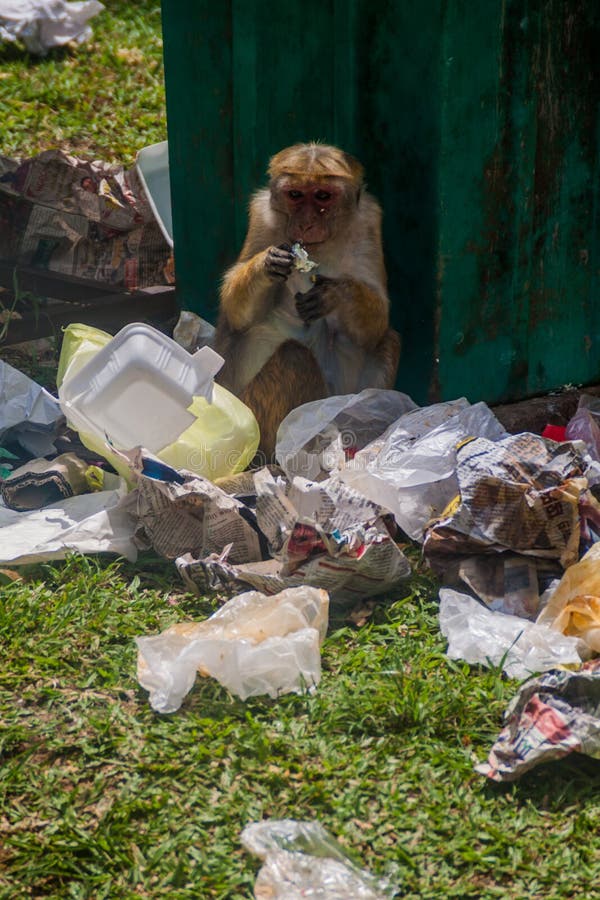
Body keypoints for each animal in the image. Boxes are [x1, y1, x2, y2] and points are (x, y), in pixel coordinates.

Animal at [214, 142, 401, 458]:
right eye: (295, 195)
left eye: (323, 196)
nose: (307, 222)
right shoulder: (262, 216)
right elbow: (235, 314)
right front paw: (266, 264)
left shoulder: (369, 223)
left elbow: (375, 327)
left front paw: (336, 294)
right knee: (293, 356)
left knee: (387, 340)